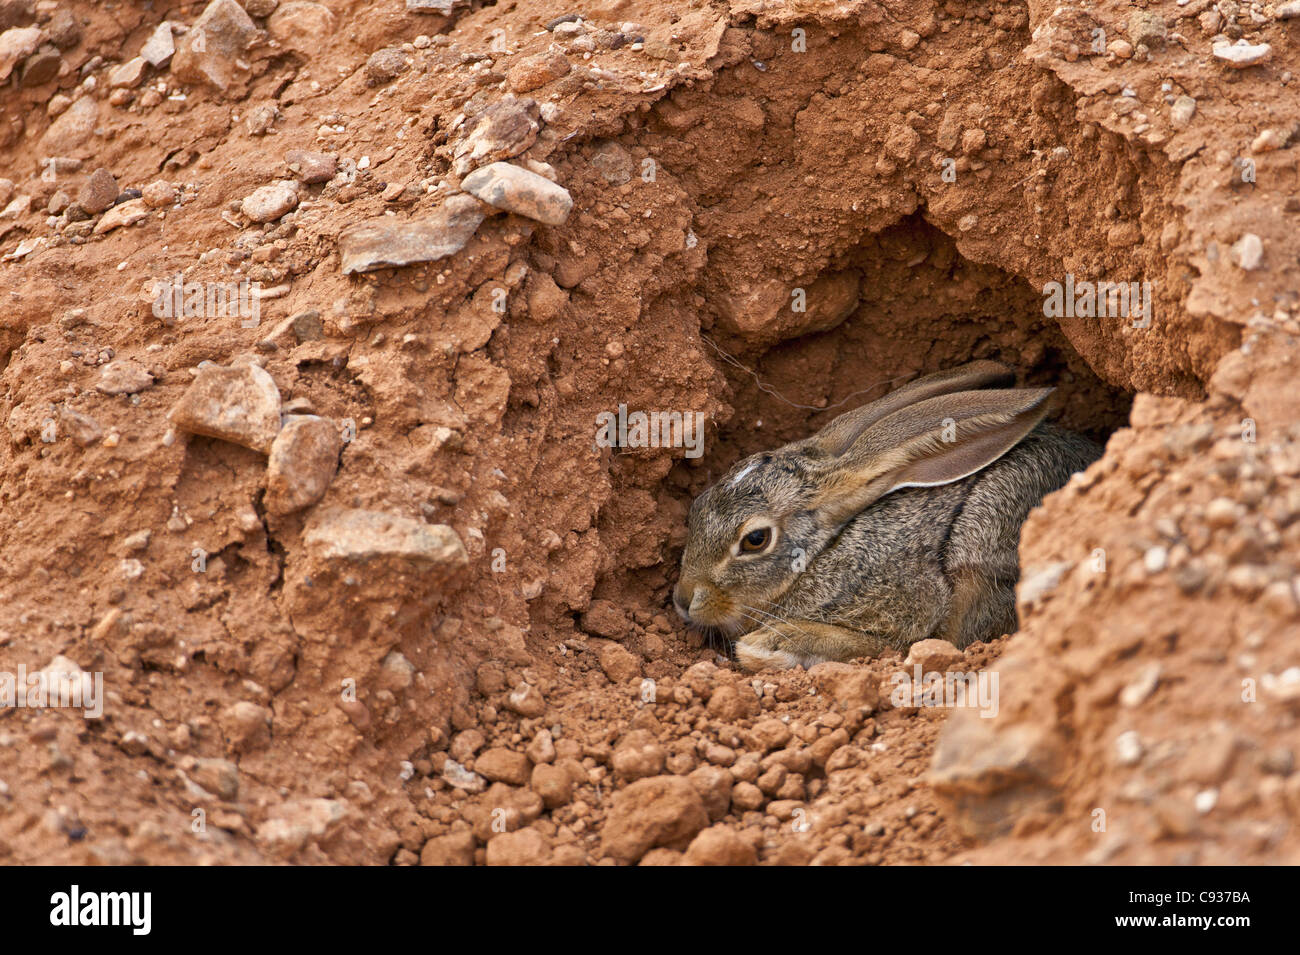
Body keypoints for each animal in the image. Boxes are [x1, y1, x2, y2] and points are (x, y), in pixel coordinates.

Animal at [672, 360, 1102, 671]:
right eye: (697, 505)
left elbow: (892, 643)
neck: (820, 556)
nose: (683, 599)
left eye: (755, 540)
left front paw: (775, 643)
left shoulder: (908, 603)